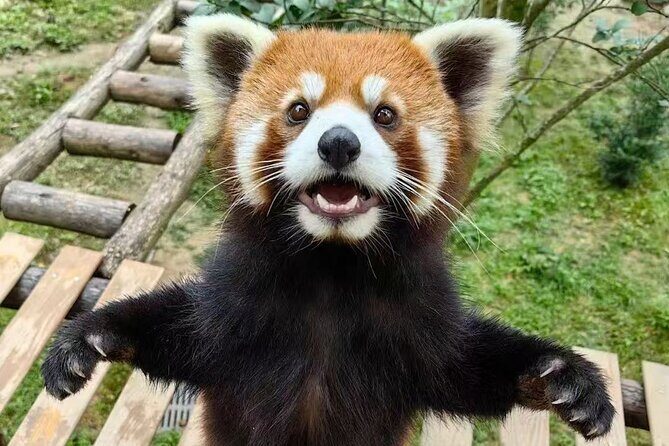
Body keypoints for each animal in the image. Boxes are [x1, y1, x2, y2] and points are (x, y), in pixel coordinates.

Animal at [42, 14, 614, 446]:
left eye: (385, 114)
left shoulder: (418, 315)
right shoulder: (237, 303)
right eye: (299, 110)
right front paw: (90, 337)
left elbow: (463, 369)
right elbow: (182, 333)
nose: (339, 142)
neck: (332, 267)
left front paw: (562, 377)